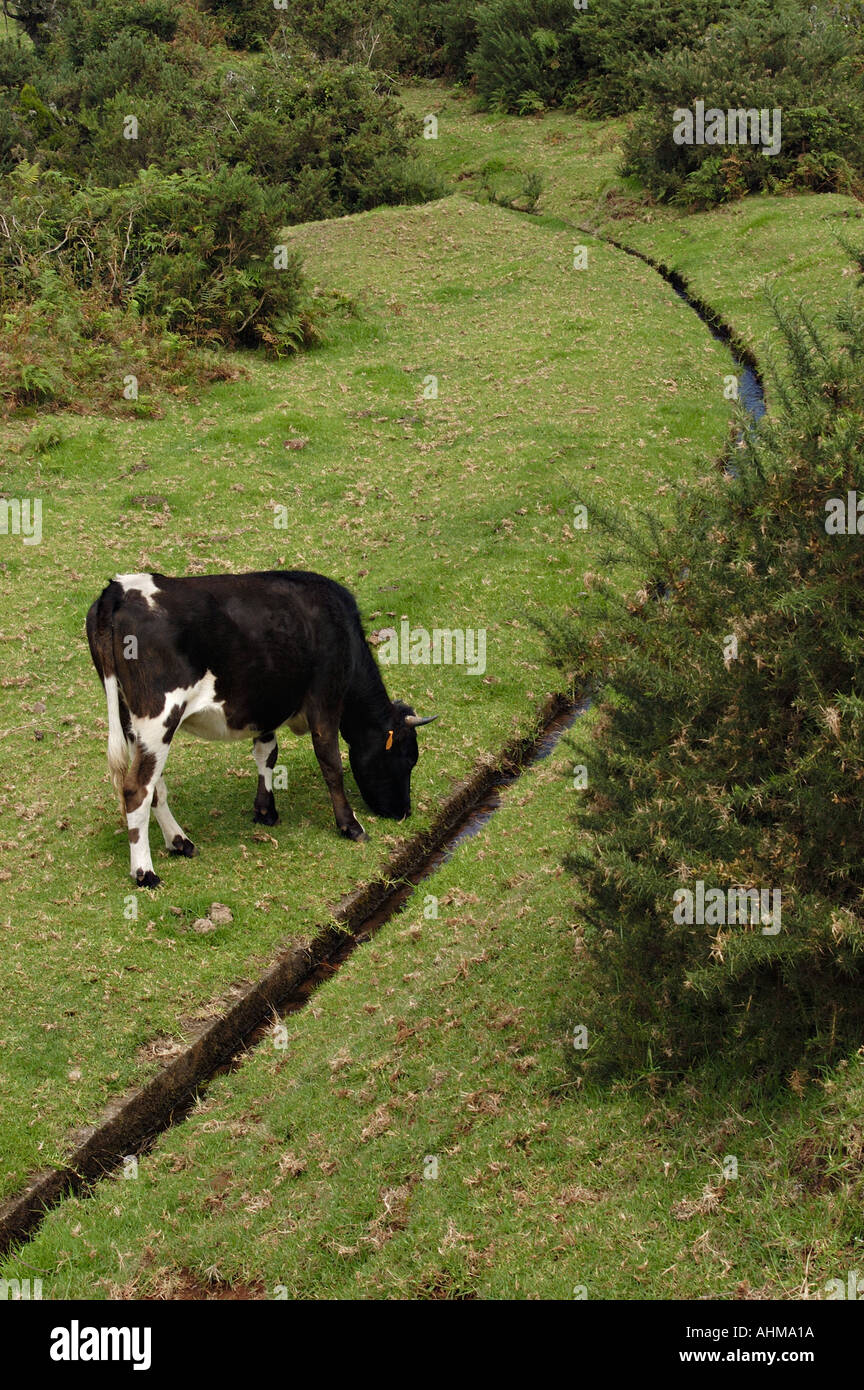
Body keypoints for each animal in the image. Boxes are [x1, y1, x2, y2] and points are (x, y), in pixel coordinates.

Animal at [86, 570, 436, 887]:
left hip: (131, 722)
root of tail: (118, 588)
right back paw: (144, 872)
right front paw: (351, 826)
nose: (404, 812)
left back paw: (179, 842)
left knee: (155, 787)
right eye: (408, 759)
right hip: (159, 718)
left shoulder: (266, 707)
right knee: (137, 789)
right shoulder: (325, 701)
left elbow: (266, 754)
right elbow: (331, 765)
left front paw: (266, 810)